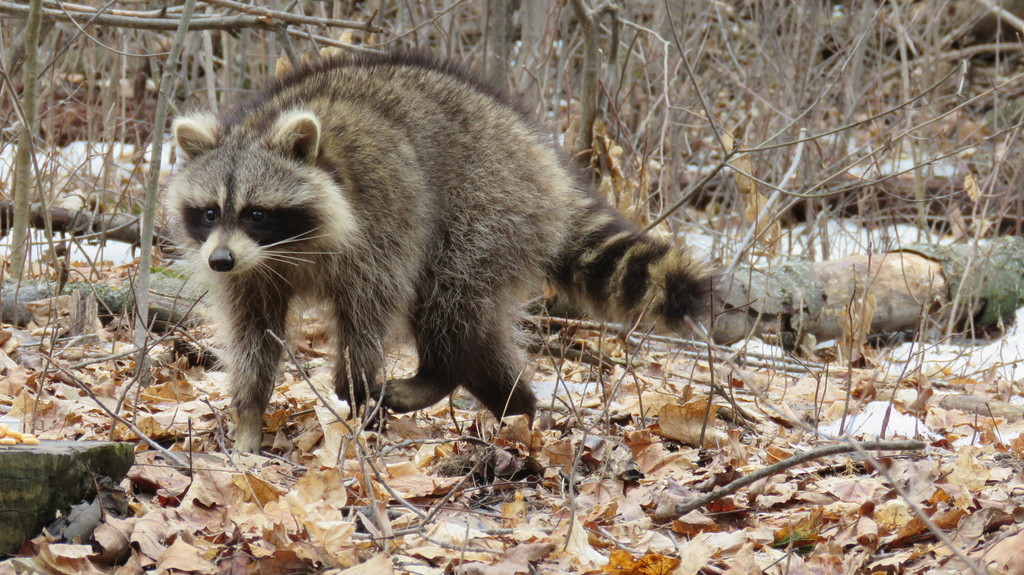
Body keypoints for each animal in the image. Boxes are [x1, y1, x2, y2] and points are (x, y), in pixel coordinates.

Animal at [164, 52, 711, 453]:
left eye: (256, 213)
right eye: (210, 212)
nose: (219, 260)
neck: (284, 249)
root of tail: (544, 160)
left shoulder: (380, 225)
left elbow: (368, 313)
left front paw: (353, 385)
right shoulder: (251, 273)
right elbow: (252, 333)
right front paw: (248, 417)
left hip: (488, 210)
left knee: (449, 303)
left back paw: (442, 377)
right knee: (476, 334)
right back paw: (517, 407)